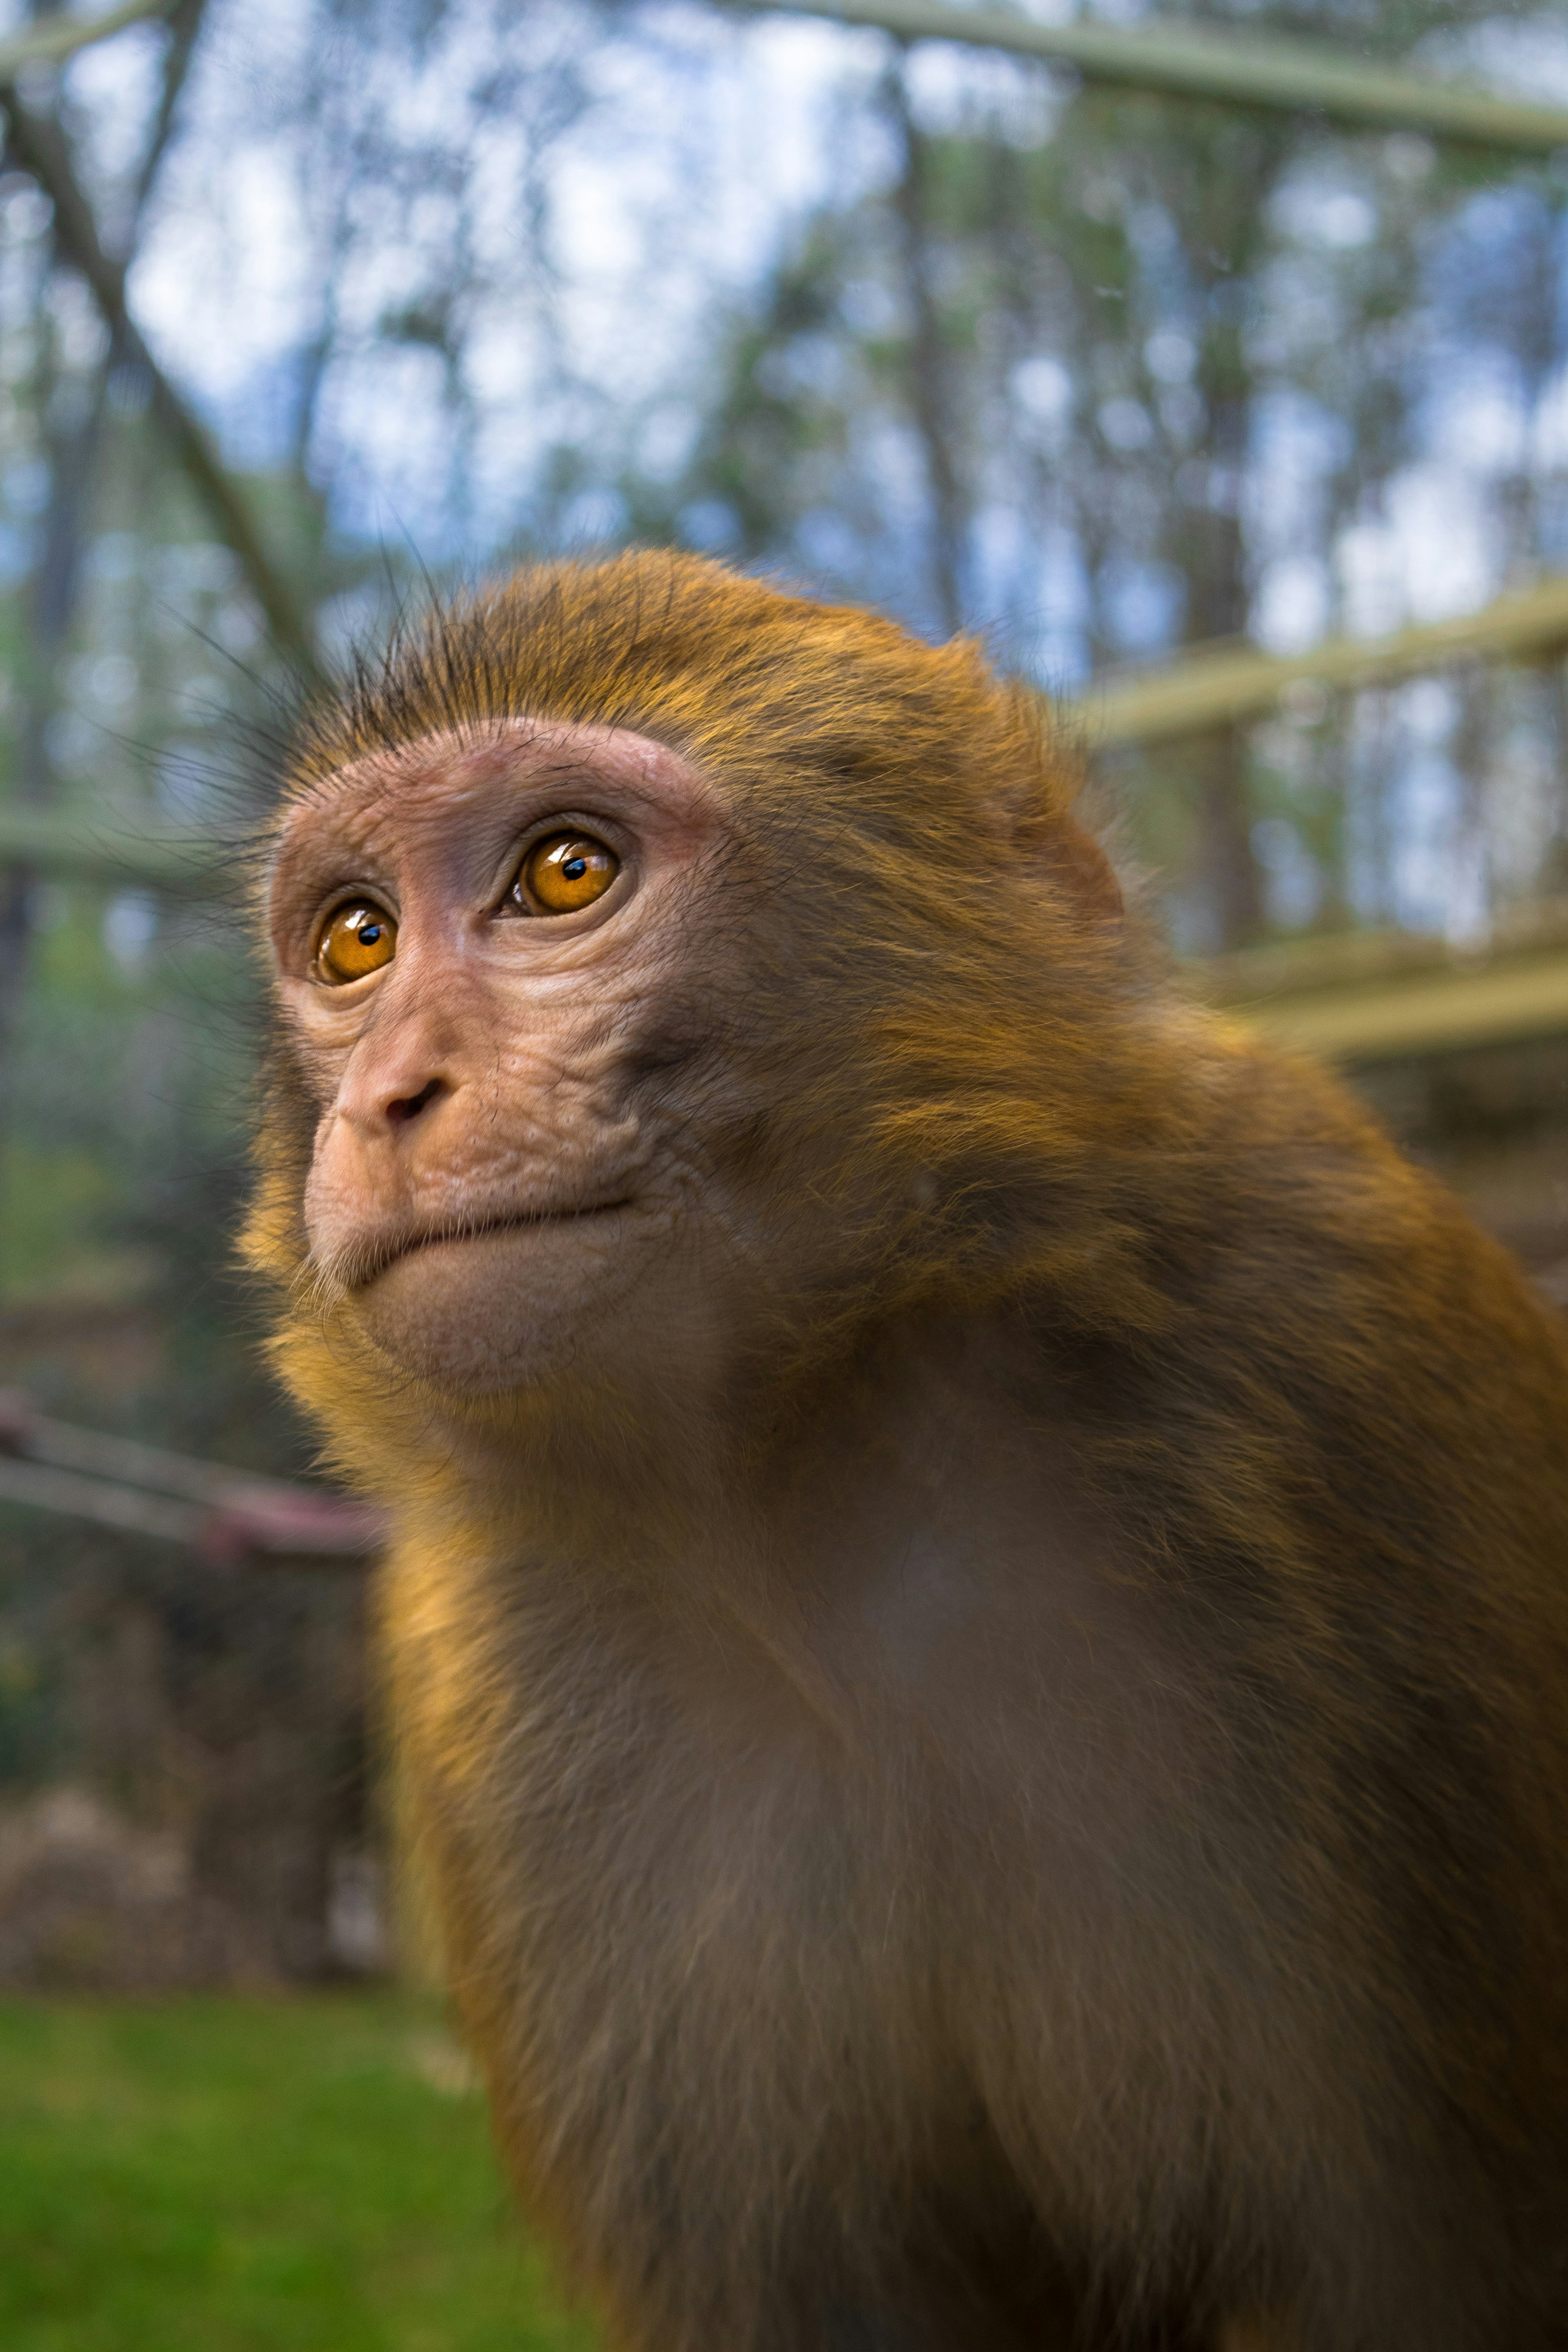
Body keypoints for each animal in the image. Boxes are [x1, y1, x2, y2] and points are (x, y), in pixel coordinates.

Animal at [247, 550, 1568, 2352]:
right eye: (357, 938)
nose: (388, 1094)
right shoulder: (497, 1678)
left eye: (565, 873)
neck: (825, 1498)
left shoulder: (1337, 1363)